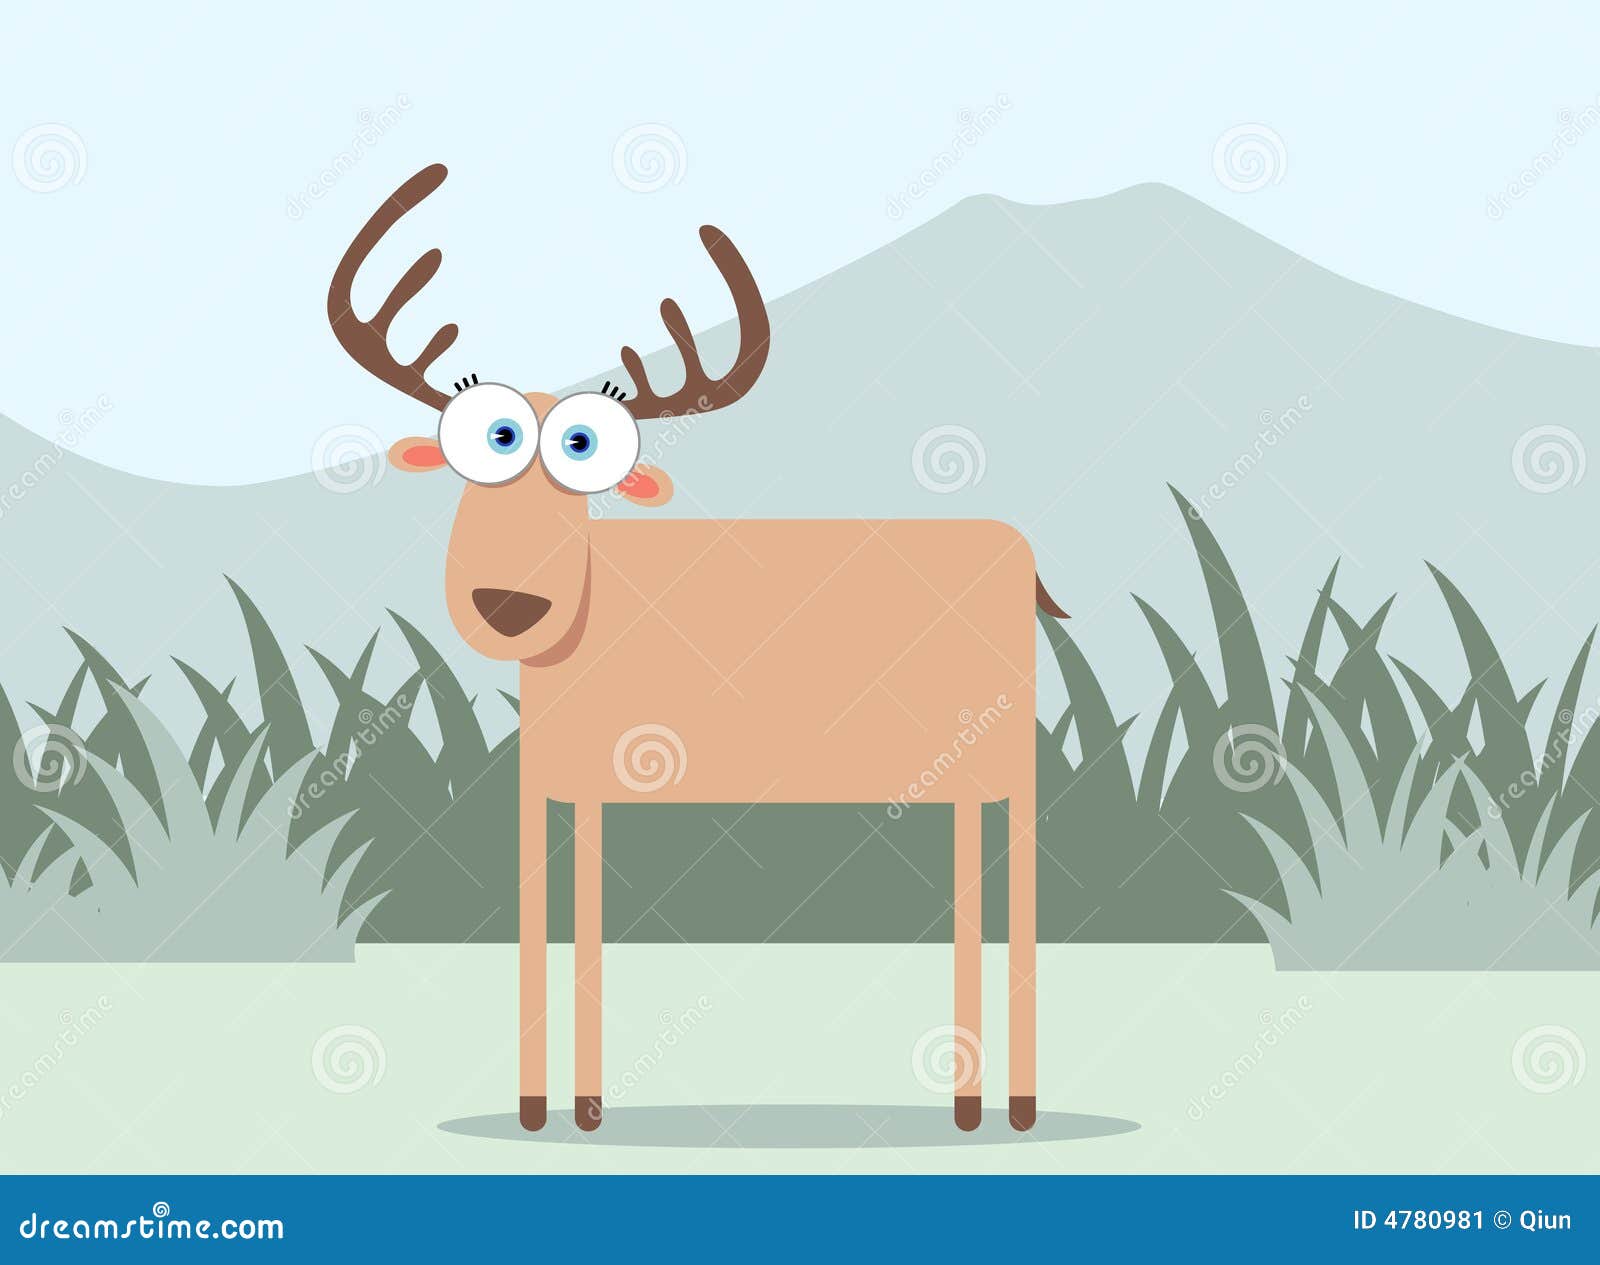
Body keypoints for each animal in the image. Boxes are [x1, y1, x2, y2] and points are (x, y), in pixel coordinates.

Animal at [327, 164, 1062, 1133]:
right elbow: (550, 919)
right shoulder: (553, 784)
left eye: (581, 447)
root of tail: (1027, 559)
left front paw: (578, 1111)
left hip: (1007, 758)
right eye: (488, 443)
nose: (509, 605)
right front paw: (549, 1105)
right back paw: (971, 1102)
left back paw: (1014, 1108)